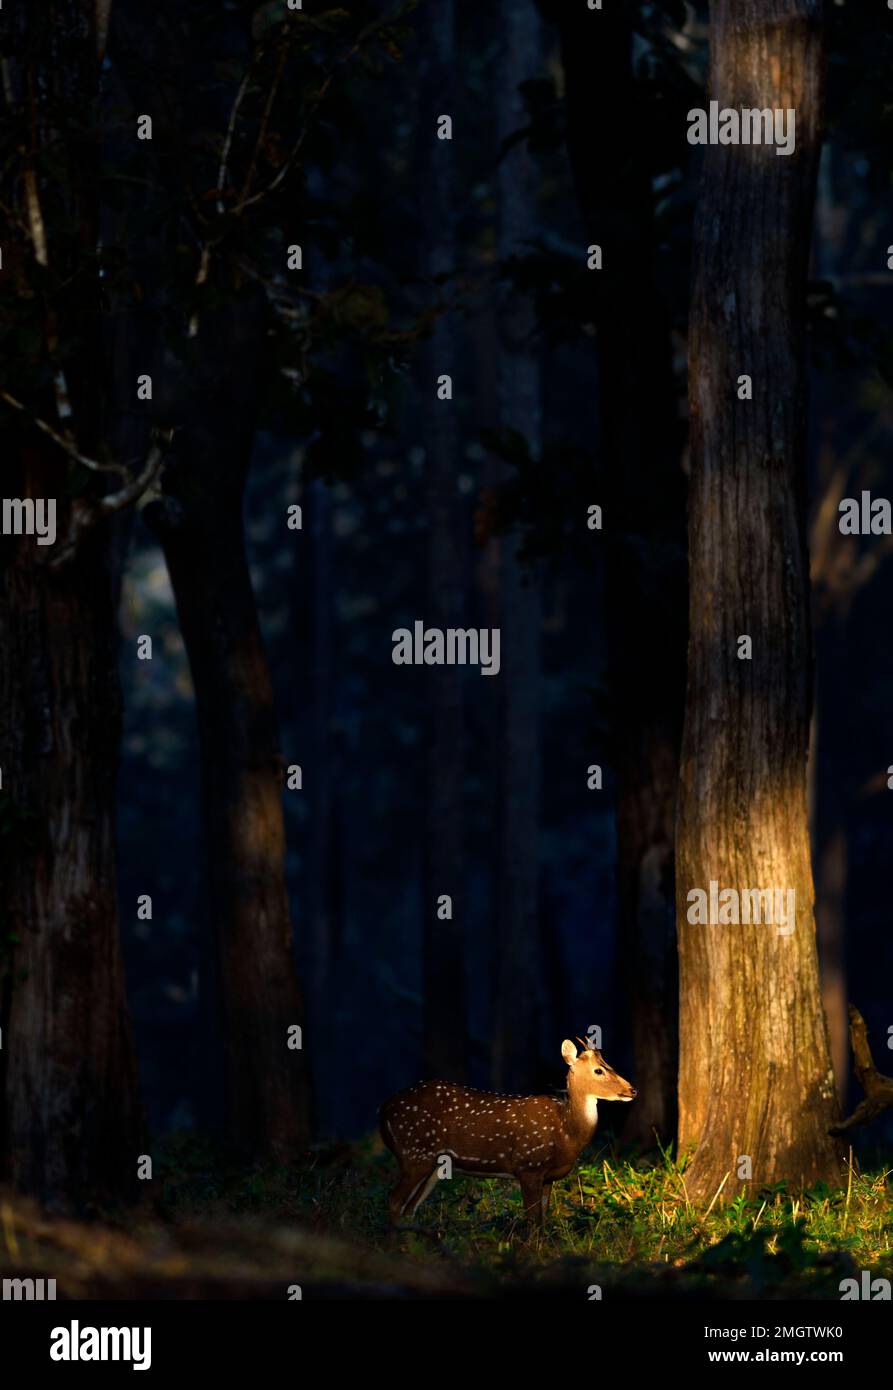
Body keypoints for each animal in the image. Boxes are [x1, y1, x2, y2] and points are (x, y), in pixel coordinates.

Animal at [379, 1038, 636, 1228]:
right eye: (598, 1070)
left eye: (609, 1065)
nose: (632, 1089)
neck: (565, 1134)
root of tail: (384, 1109)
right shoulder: (528, 1165)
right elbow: (532, 1220)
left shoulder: (547, 1176)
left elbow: (543, 1219)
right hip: (415, 1151)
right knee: (393, 1200)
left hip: (432, 1165)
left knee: (409, 1208)